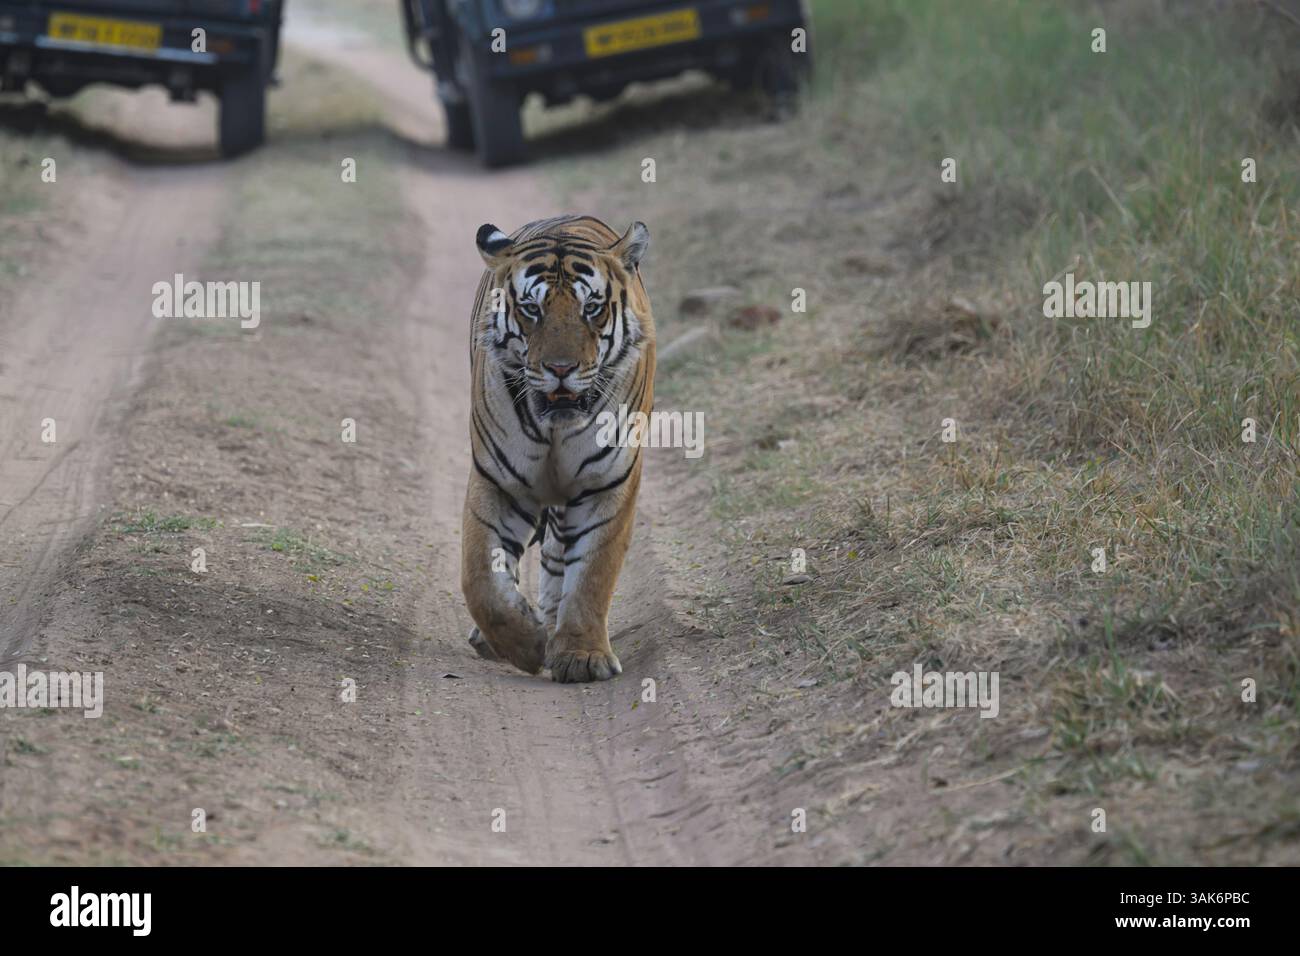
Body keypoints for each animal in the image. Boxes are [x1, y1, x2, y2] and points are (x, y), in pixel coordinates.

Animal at [460, 214, 654, 683]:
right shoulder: (498, 481)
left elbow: (592, 575)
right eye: (532, 310)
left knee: (556, 557)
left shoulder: (607, 483)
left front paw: (582, 656)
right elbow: (480, 579)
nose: (561, 369)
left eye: (592, 308)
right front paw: (525, 644)